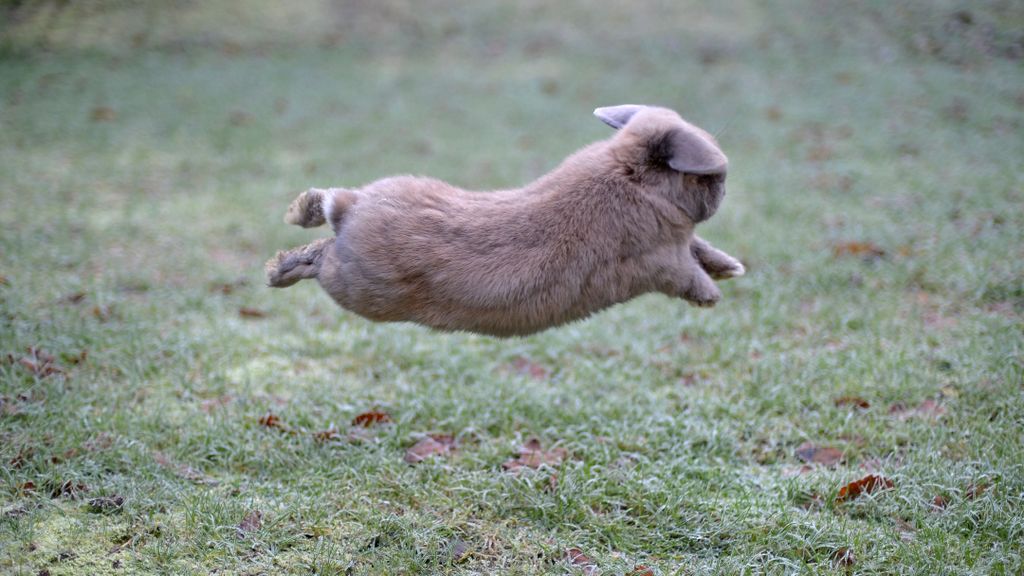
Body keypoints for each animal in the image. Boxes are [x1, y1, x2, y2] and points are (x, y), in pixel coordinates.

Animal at [265, 104, 744, 337]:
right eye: (705, 176)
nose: (723, 192)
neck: (631, 173)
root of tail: (350, 211)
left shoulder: (681, 244)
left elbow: (702, 249)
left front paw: (731, 268)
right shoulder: (663, 259)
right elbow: (687, 271)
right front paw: (711, 296)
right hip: (356, 286)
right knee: (317, 256)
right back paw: (277, 272)